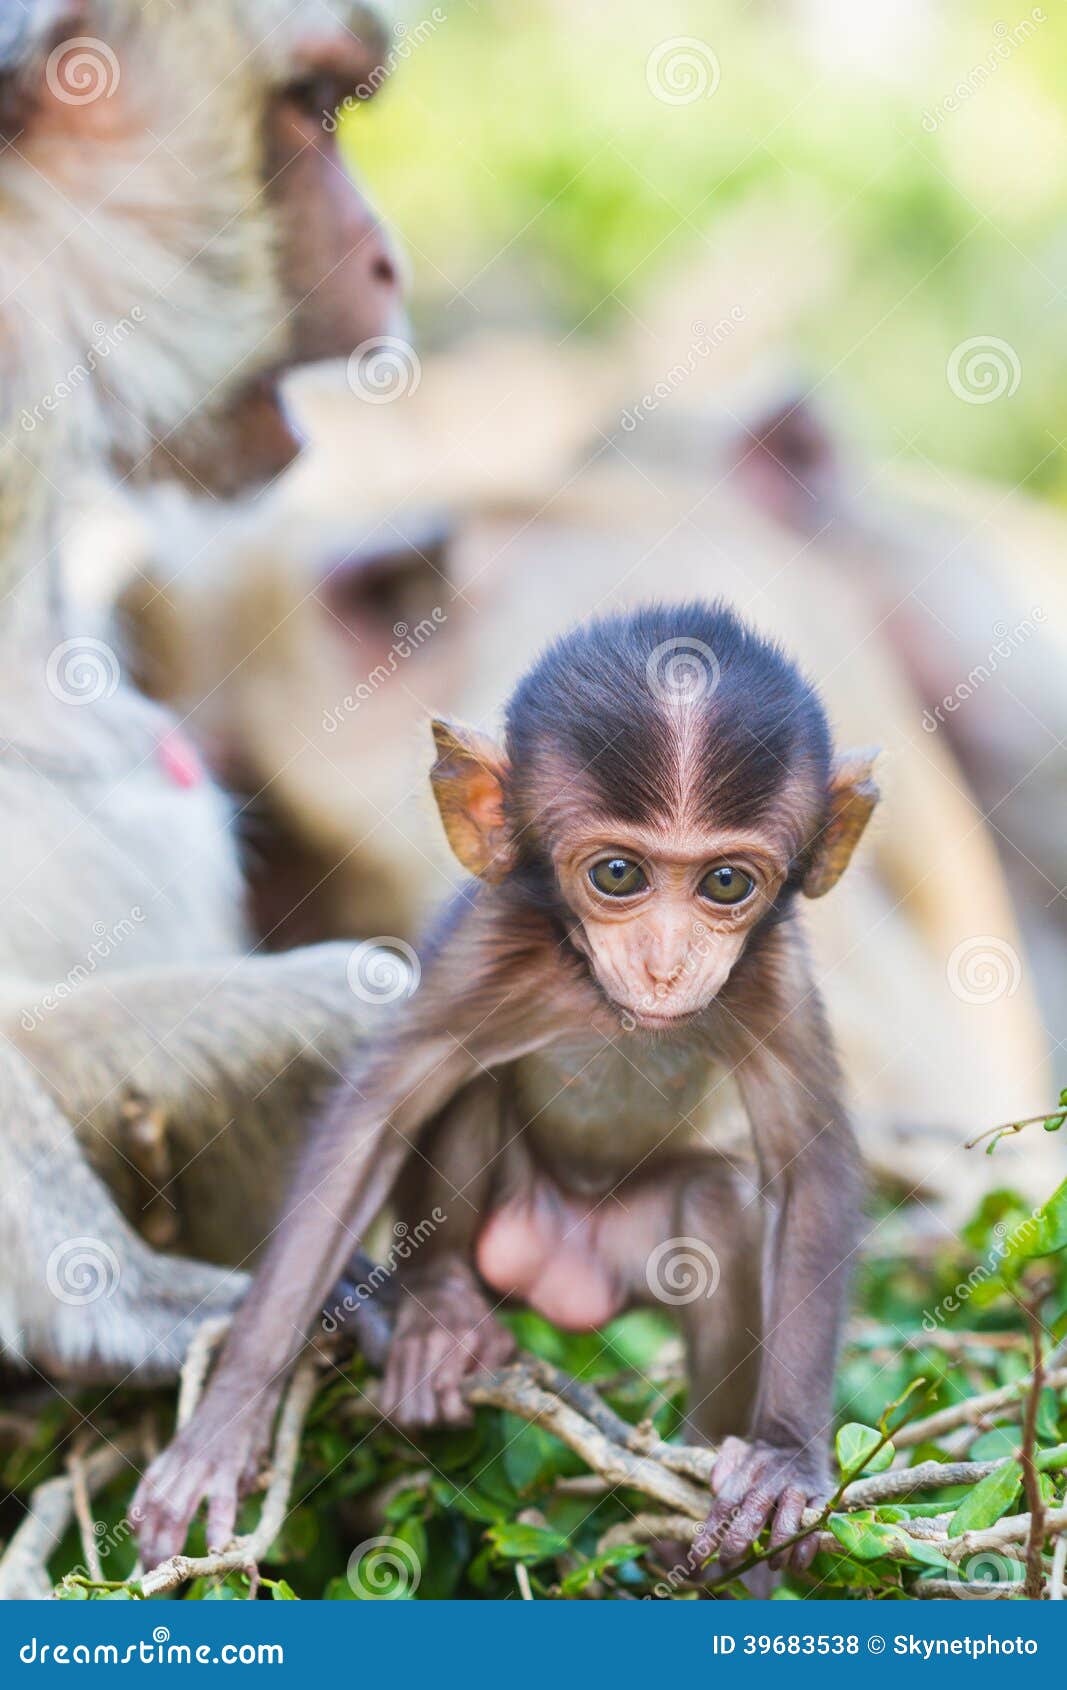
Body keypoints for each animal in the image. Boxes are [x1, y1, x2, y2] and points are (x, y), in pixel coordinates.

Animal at [134, 599, 875, 1574]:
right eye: (617, 874)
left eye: (724, 882)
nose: (667, 965)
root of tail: (562, 1272)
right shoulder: (490, 941)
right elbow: (377, 1113)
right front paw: (224, 1423)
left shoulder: (771, 972)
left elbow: (810, 1169)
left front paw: (786, 1456)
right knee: (469, 1089)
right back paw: (438, 1312)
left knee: (715, 1205)